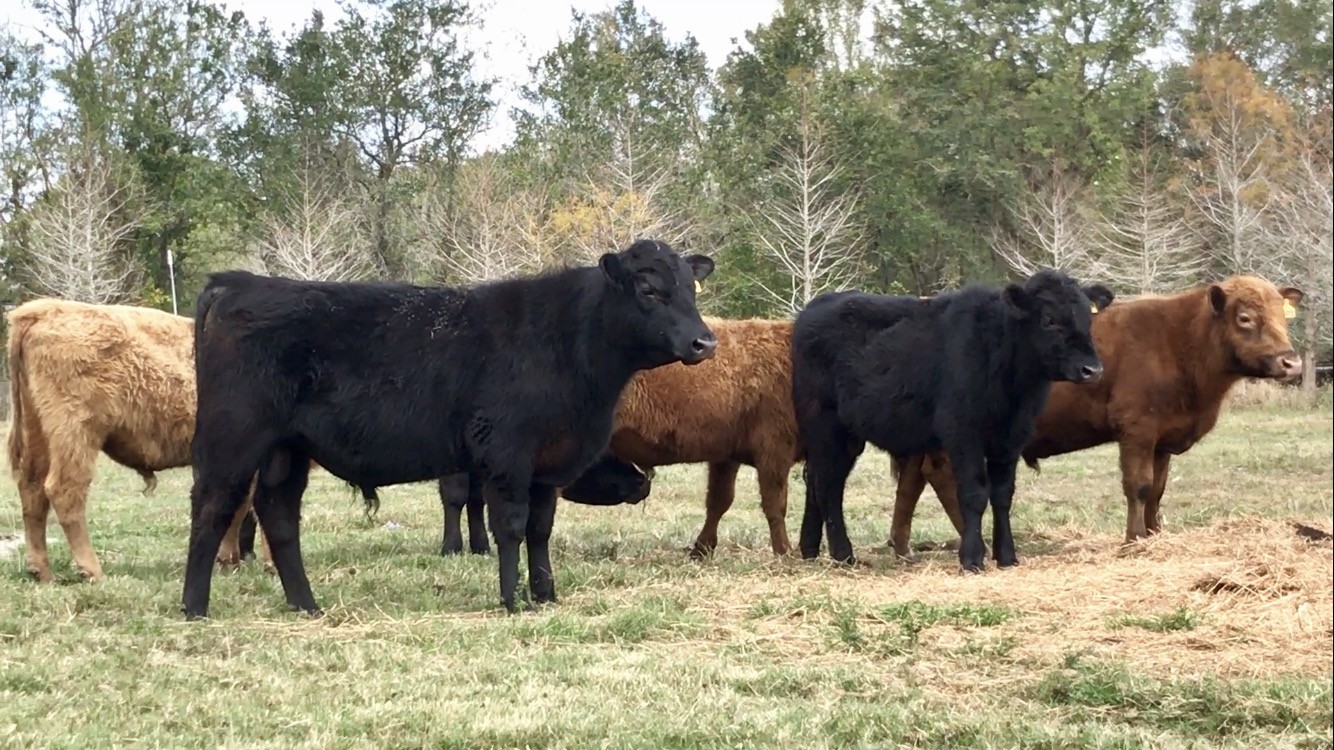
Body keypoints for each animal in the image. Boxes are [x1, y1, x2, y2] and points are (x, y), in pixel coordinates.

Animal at [4, 299, 264, 582]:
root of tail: (41, 310)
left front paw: (229, 560)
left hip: (37, 433)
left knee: (32, 490)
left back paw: (40, 571)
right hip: (77, 433)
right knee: (65, 490)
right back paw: (92, 571)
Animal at [182, 239, 717, 618]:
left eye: (691, 290)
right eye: (649, 290)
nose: (704, 342)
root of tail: (239, 283)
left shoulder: (547, 464)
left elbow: (541, 529)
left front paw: (546, 594)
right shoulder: (505, 455)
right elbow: (511, 527)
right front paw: (512, 600)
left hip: (286, 449)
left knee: (278, 514)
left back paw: (306, 605)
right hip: (234, 437)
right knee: (212, 507)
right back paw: (194, 607)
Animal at [440, 317, 802, 559]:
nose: (643, 484)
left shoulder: (726, 457)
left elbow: (718, 502)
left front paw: (701, 549)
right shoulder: (774, 453)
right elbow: (775, 503)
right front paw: (785, 551)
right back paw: (456, 547)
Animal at [791, 269, 1114, 572]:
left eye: (1088, 318)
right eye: (1049, 320)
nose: (1093, 369)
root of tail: (814, 307)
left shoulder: (1011, 436)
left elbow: (1002, 495)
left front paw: (1007, 556)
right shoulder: (962, 433)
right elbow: (974, 494)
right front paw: (971, 559)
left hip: (845, 436)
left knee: (817, 481)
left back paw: (810, 550)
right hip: (825, 426)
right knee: (829, 486)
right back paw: (843, 554)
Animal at [887, 275, 1304, 554]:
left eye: (1283, 317)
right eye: (1245, 317)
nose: (1291, 362)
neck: (1179, 340)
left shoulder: (1162, 438)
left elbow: (1157, 490)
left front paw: (1155, 535)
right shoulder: (1136, 429)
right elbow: (1138, 485)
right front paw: (1134, 539)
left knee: (913, 480)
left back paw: (902, 546)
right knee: (940, 476)